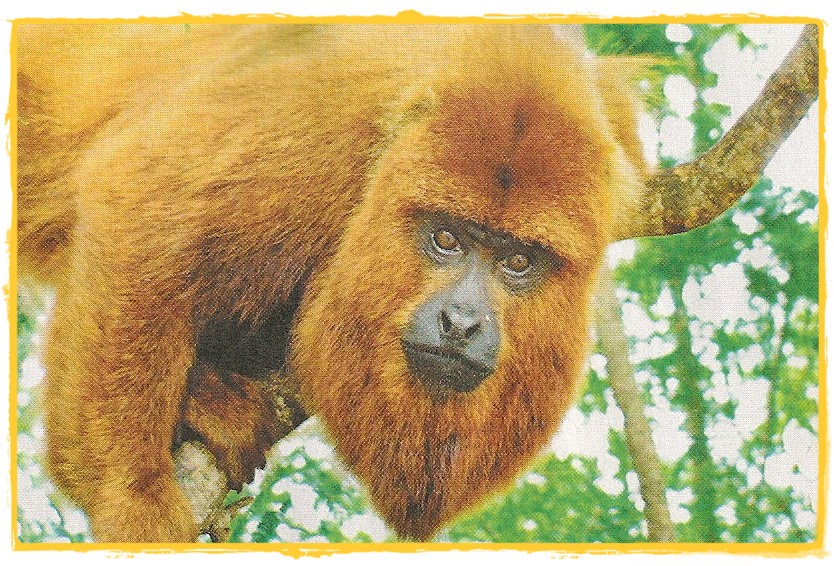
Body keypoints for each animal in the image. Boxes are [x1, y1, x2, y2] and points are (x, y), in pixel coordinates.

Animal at [16, 24, 650, 542]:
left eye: (518, 262)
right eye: (446, 238)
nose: (461, 322)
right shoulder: (322, 111)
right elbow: (138, 197)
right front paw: (132, 500)